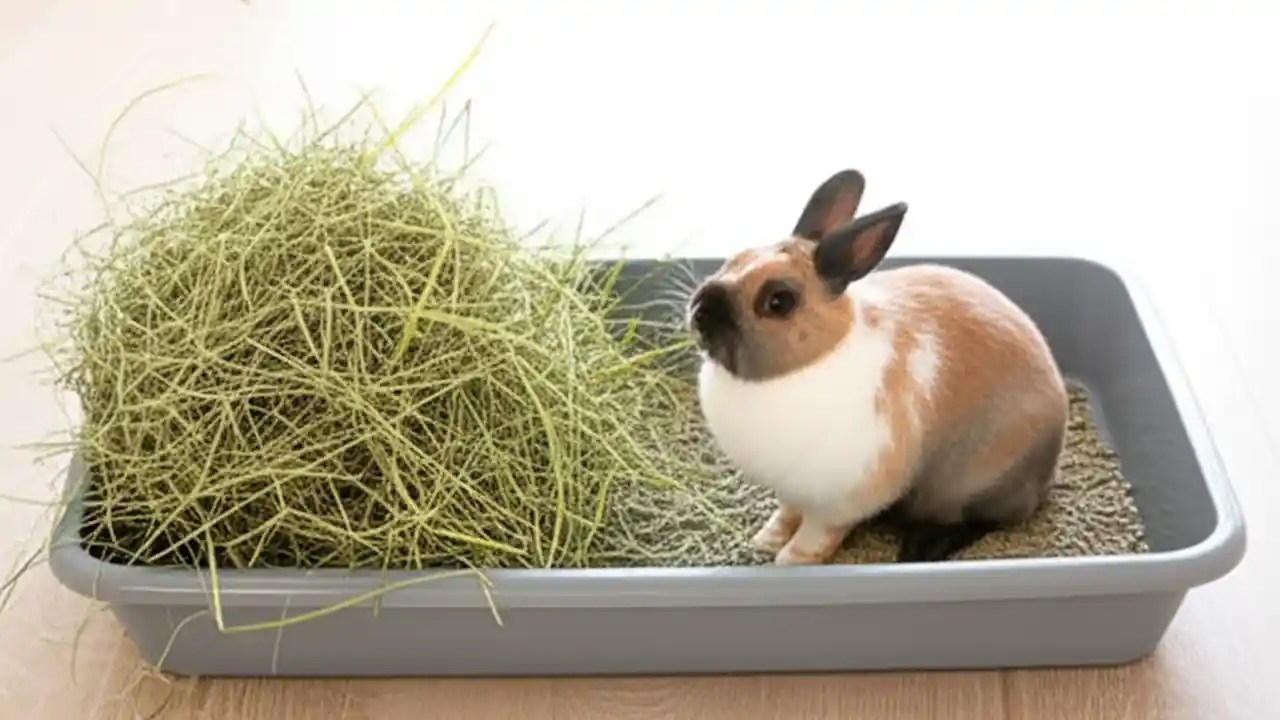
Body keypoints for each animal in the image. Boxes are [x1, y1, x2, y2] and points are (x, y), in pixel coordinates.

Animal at [687, 169, 1068, 564]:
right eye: (734, 259)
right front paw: (766, 540)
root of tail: (1046, 473)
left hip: (977, 485)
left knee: (982, 521)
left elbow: (817, 533)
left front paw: (791, 560)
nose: (699, 312)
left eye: (779, 301)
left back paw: (919, 549)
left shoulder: (840, 501)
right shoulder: (792, 490)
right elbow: (787, 513)